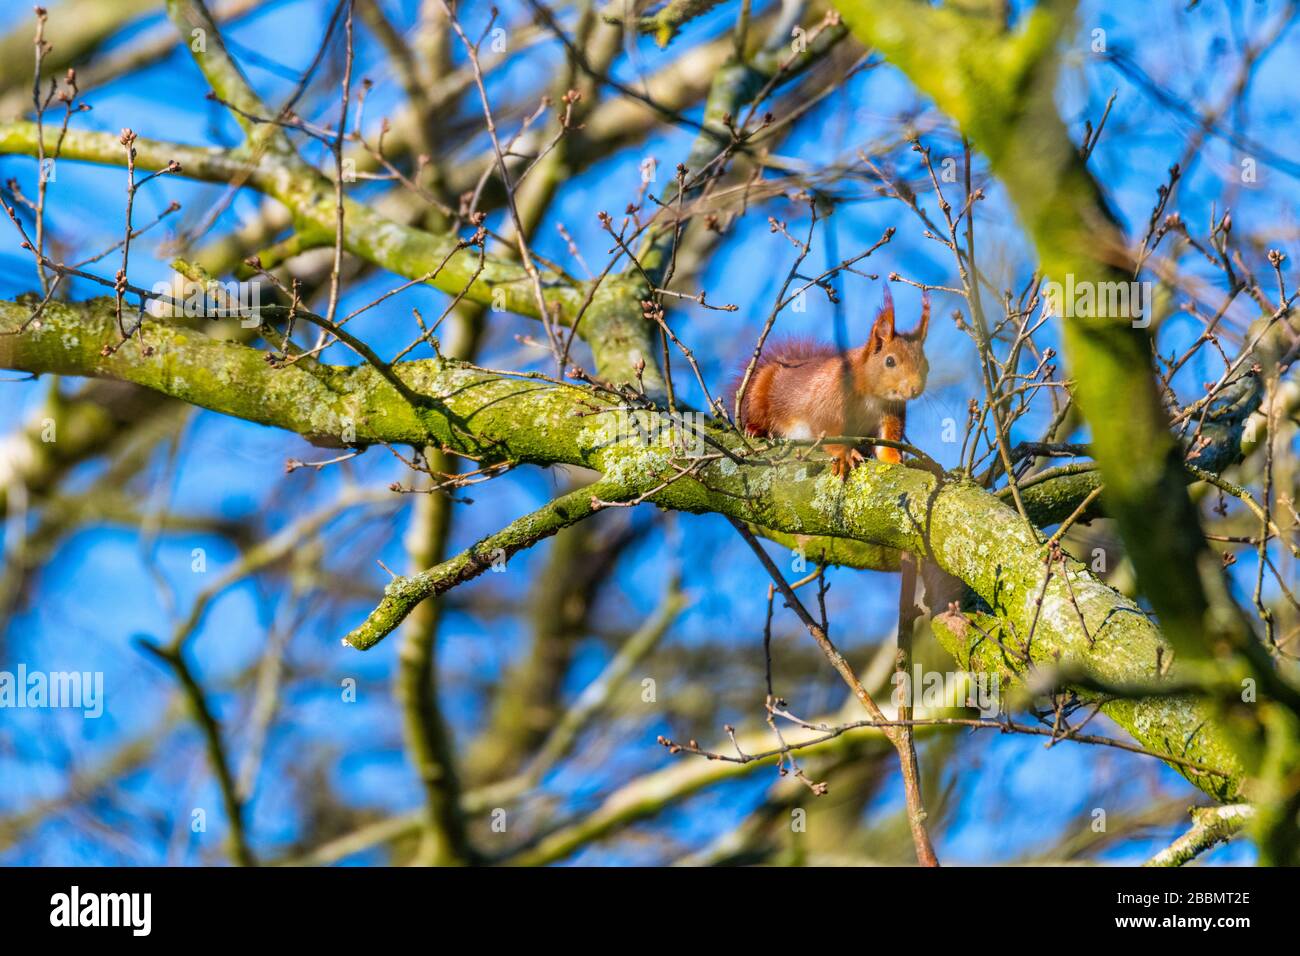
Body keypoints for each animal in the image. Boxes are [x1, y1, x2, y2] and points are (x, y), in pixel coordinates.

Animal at [731, 287, 930, 477]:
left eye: (927, 366)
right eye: (889, 361)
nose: (915, 389)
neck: (871, 395)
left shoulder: (891, 413)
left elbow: (887, 443)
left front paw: (896, 459)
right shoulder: (830, 399)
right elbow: (826, 428)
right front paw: (844, 455)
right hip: (760, 390)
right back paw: (755, 428)